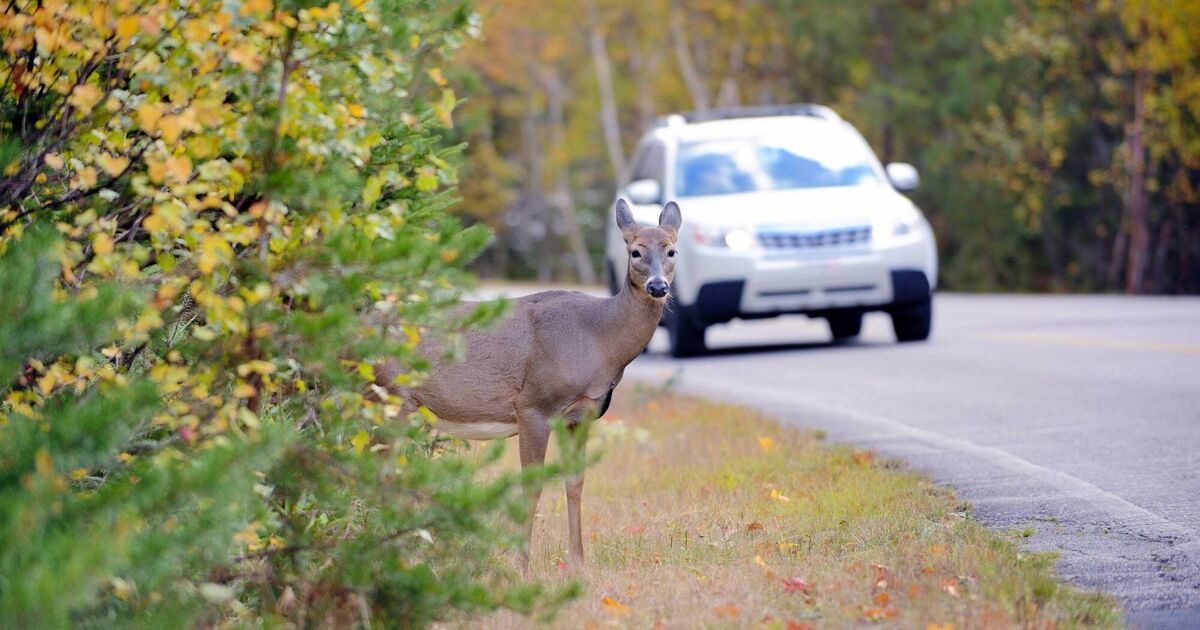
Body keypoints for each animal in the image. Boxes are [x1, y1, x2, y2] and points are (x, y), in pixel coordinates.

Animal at [376, 198, 681, 568]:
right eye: (635, 251)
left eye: (672, 250)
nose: (657, 287)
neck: (598, 338)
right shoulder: (534, 405)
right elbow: (531, 486)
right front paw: (521, 565)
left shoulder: (581, 414)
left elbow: (575, 481)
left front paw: (578, 563)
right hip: (391, 395)